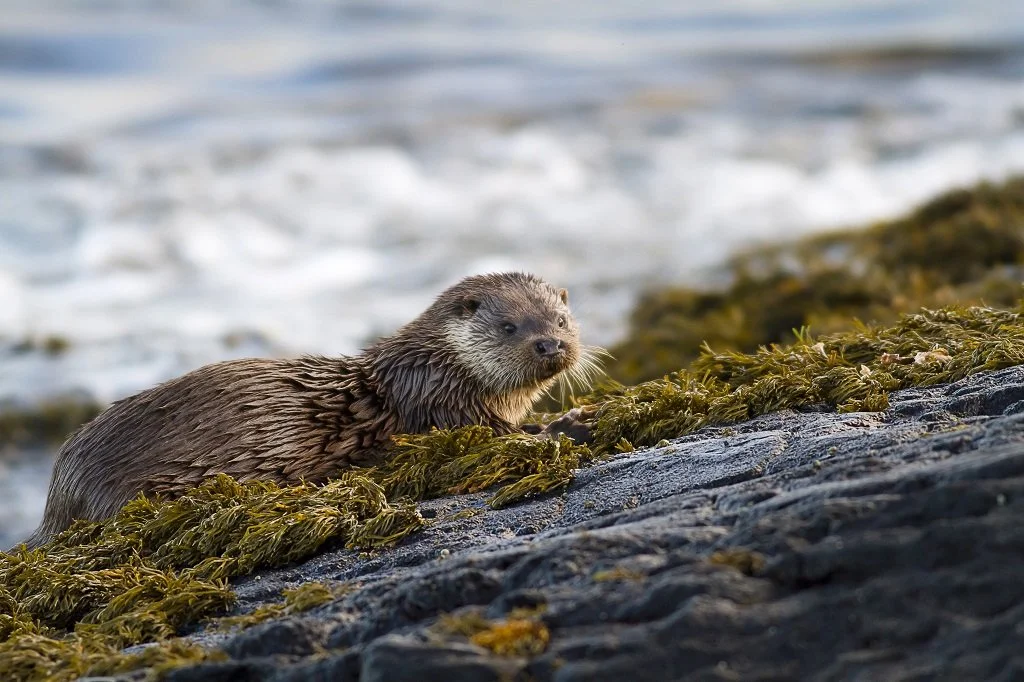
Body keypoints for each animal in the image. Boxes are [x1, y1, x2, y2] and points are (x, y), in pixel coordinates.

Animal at [24, 272, 598, 548]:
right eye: (510, 327)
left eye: (561, 320)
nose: (552, 345)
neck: (434, 367)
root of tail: (60, 488)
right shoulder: (442, 409)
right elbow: (506, 435)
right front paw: (569, 425)